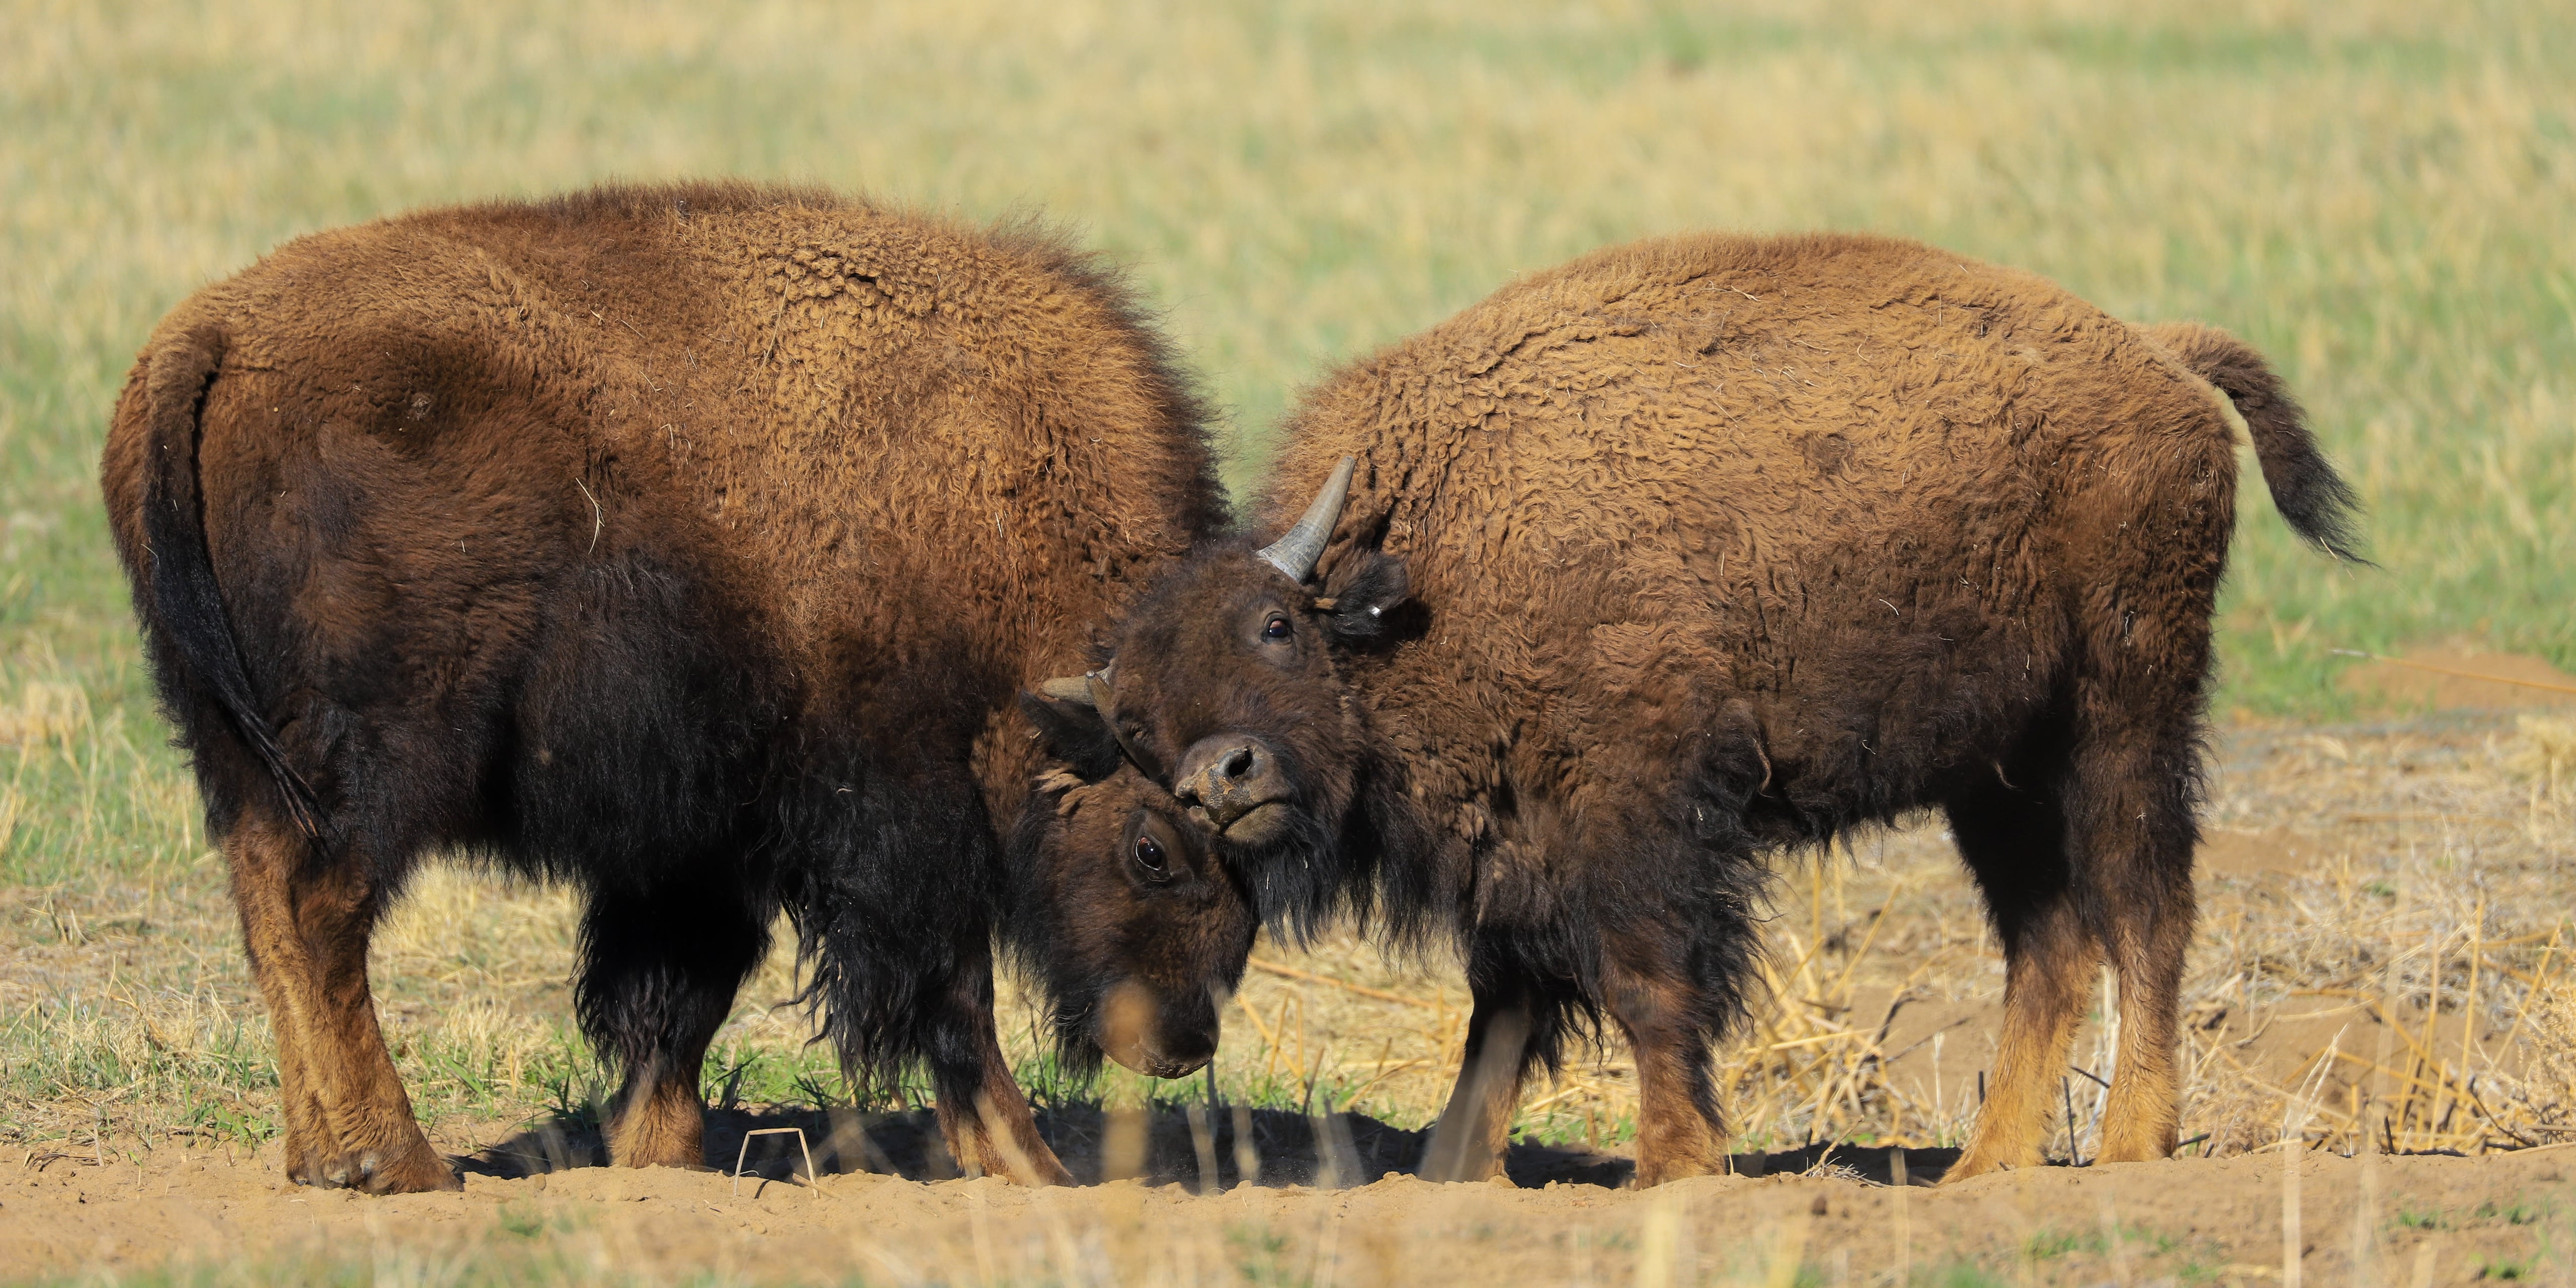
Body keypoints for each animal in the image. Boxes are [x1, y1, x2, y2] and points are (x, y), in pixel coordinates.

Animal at [102, 181, 1222, 1193]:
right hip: (392, 759)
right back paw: (397, 1162)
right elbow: (953, 999)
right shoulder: (902, 828)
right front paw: (1033, 1167)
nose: (1184, 1041)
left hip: (245, 753)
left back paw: (322, 1156)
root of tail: (209, 338)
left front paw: (660, 1156)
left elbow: (681, 992)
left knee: (268, 908)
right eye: (1153, 849)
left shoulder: (704, 834)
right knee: (324, 912)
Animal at [1016, 232, 2360, 1186]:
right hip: (1998, 772)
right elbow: (1504, 1010)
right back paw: (1983, 1166)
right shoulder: (1515, 849)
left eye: (1275, 628)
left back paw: (2132, 1144)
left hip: (2125, 716)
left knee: (2145, 912)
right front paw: (1452, 1169)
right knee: (2050, 939)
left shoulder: (1638, 818)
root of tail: (2160, 357)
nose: (1220, 778)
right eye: (1136, 725)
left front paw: (1672, 1163)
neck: (1421, 565)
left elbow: (1649, 983)